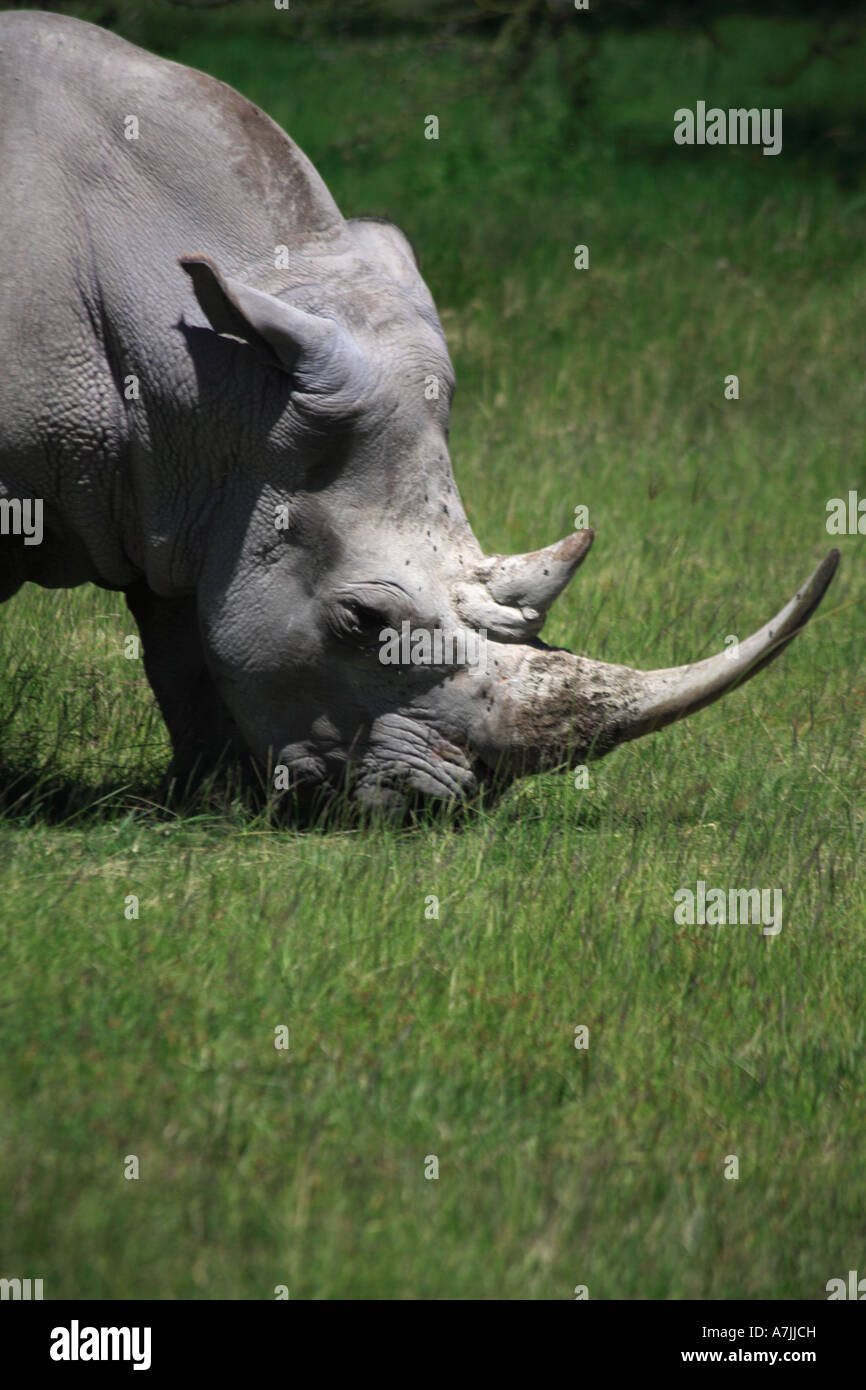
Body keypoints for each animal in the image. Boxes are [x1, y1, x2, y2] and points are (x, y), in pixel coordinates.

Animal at [0, 12, 839, 813]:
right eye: (363, 621)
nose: (449, 805)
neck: (214, 381)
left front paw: (211, 802)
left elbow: (183, 651)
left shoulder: (186, 490)